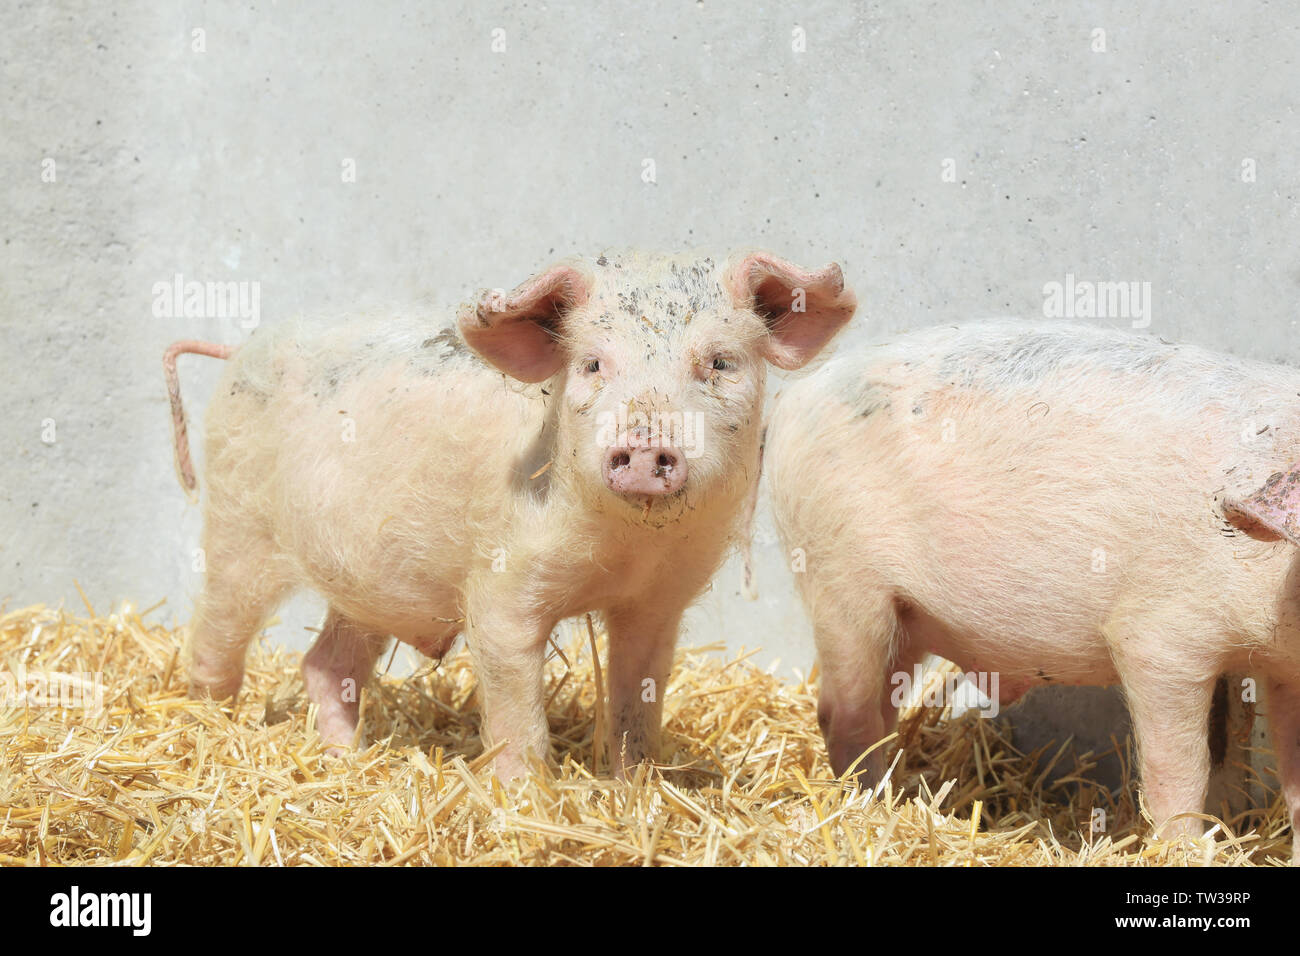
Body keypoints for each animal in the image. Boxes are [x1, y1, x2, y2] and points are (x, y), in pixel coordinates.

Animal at [166, 251, 856, 779]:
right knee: (216, 633)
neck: (627, 549)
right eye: (592, 363)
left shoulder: (660, 602)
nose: (641, 445)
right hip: (237, 522)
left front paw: (634, 788)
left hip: (364, 581)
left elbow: (637, 701)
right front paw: (526, 795)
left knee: (326, 664)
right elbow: (515, 709)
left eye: (720, 362)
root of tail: (240, 349)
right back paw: (208, 726)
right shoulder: (501, 591)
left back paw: (348, 761)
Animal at [765, 318, 1300, 858]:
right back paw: (870, 803)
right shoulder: (1159, 640)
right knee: (842, 713)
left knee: (879, 708)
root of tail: (793, 397)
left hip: (904, 616)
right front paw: (1183, 851)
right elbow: (1180, 770)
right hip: (839, 581)